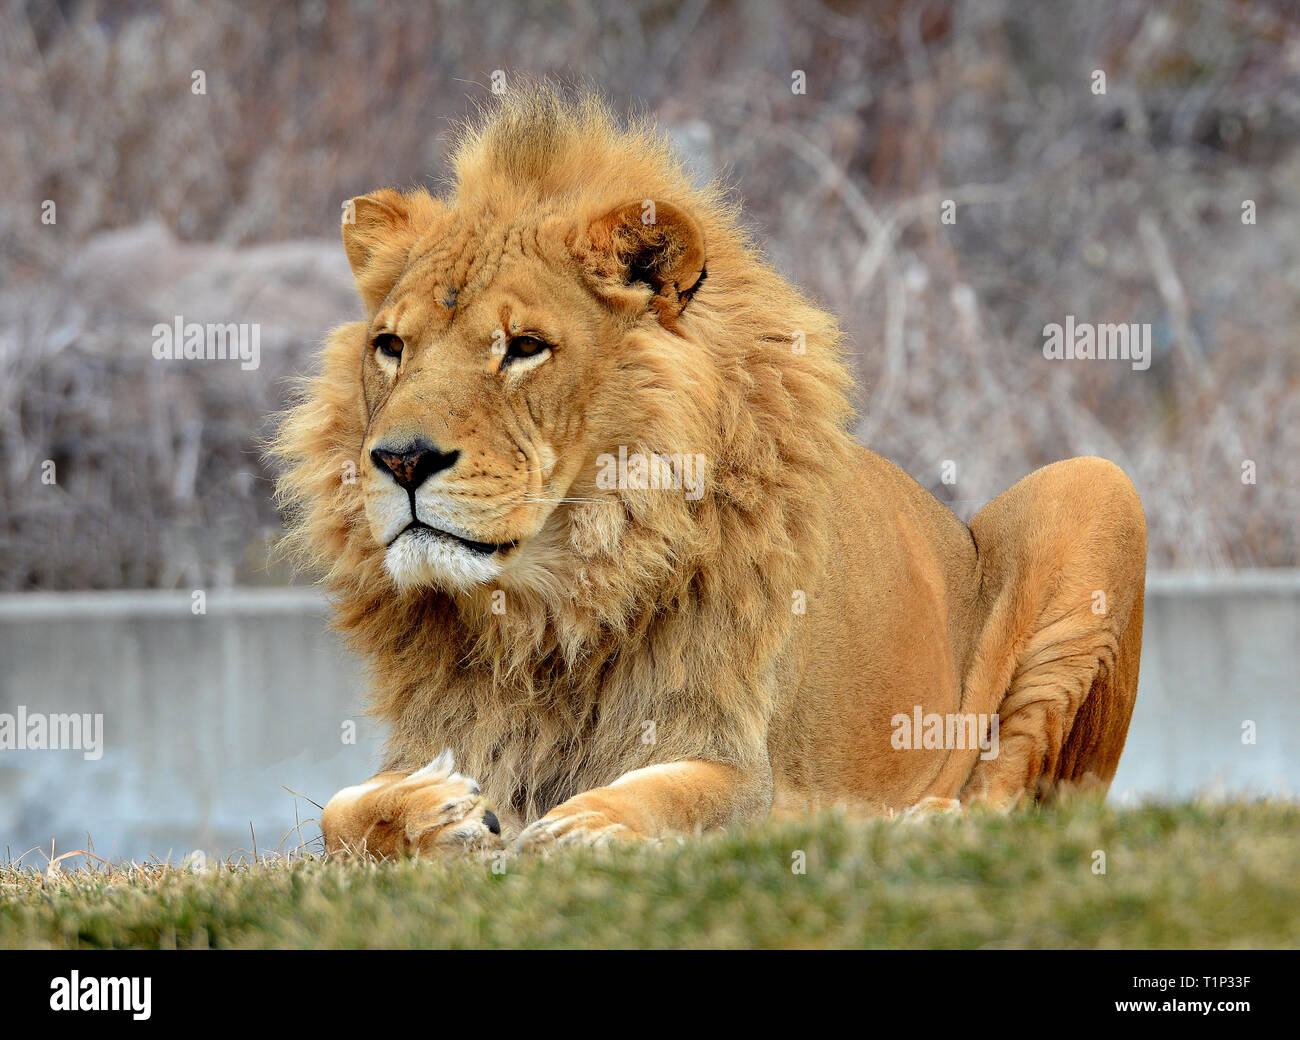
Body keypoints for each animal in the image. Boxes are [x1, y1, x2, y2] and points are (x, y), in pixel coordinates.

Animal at [272, 87, 1146, 856]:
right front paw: (436, 812)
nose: (401, 460)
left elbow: (680, 794)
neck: (550, 607)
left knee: (1011, 793)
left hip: (1095, 485)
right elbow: (341, 812)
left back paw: (920, 824)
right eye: (391, 346)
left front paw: (582, 826)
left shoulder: (740, 759)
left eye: (524, 347)